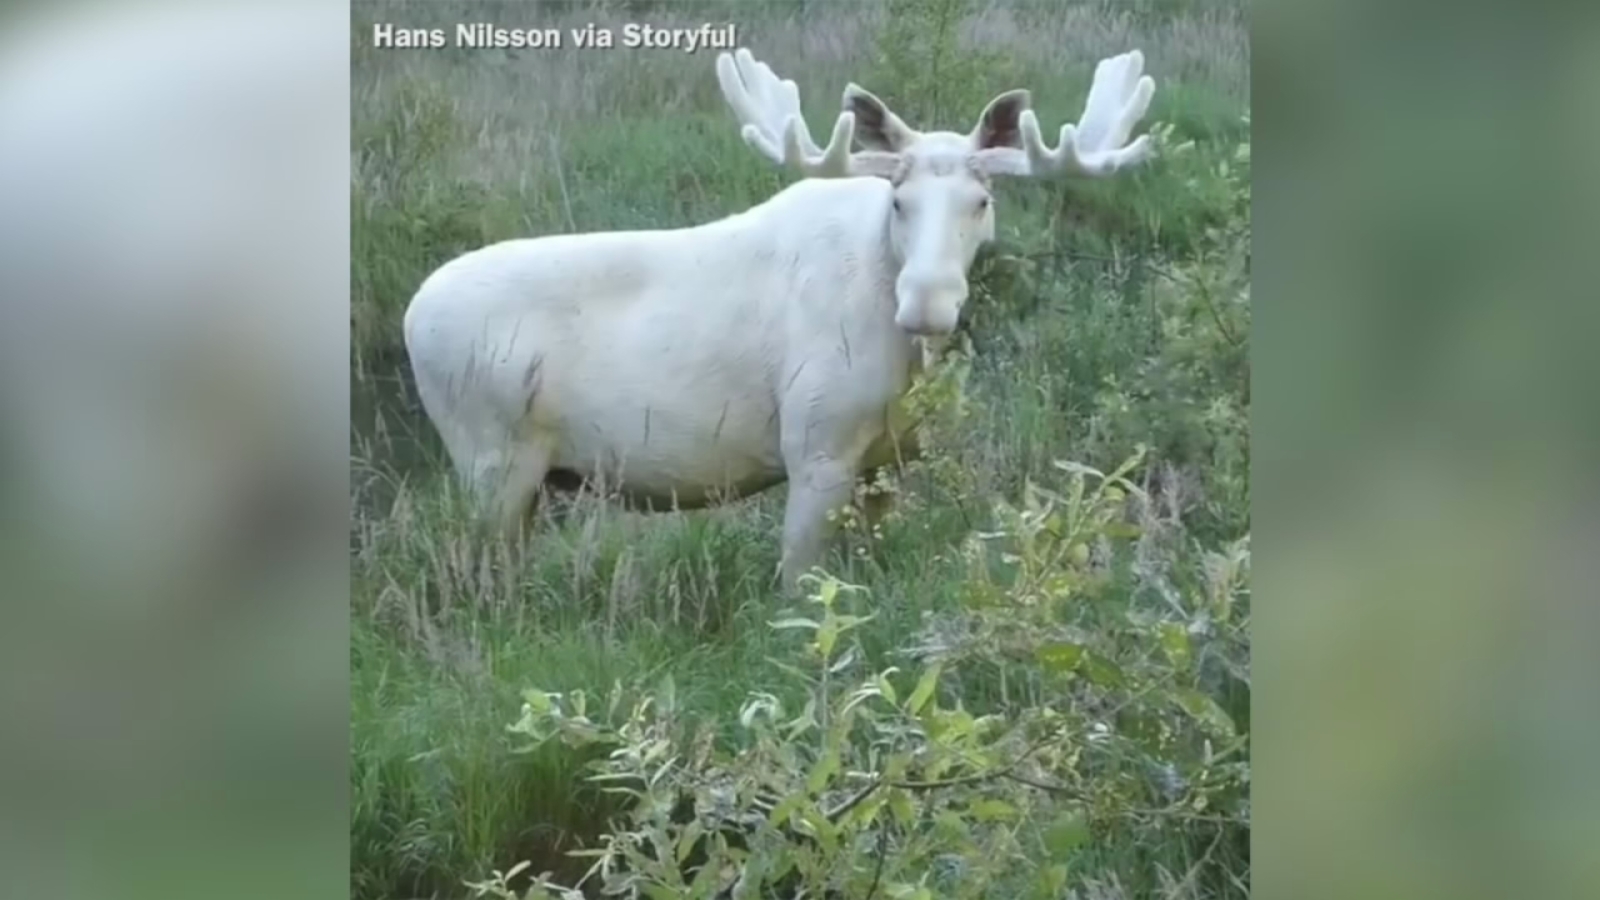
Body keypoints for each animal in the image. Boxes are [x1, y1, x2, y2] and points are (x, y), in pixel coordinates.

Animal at [402, 46, 1159, 591]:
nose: (926, 303)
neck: (904, 361)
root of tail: (410, 317)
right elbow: (799, 585)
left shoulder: (888, 461)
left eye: (982, 200)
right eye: (899, 201)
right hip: (489, 458)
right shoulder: (815, 443)